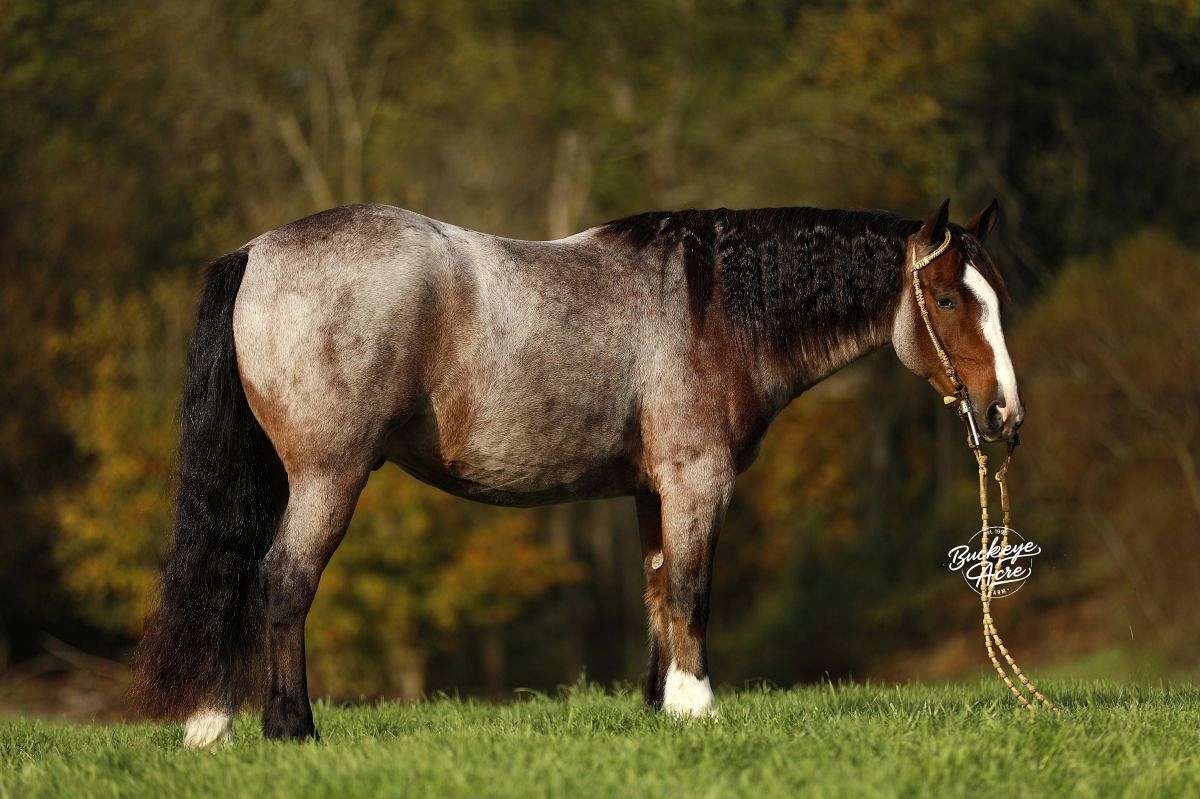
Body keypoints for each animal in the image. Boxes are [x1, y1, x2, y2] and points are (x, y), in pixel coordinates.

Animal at [131, 197, 1022, 746]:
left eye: (998, 295)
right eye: (948, 300)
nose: (1004, 417)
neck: (712, 309)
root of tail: (256, 251)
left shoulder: (653, 490)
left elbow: (659, 590)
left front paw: (661, 708)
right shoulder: (697, 480)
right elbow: (693, 588)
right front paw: (699, 707)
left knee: (237, 576)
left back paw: (214, 724)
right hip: (328, 475)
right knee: (283, 578)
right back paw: (291, 726)